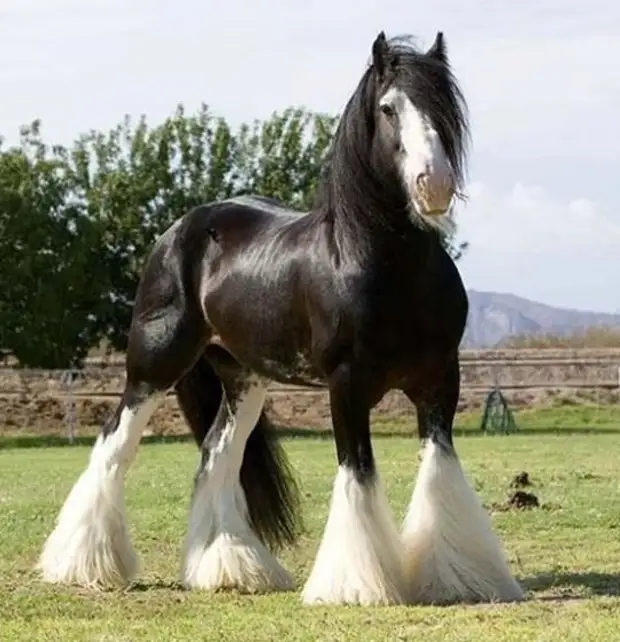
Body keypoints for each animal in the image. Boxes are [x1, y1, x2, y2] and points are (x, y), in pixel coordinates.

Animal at [37, 30, 524, 604]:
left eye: (444, 107)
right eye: (388, 108)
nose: (434, 185)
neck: (378, 263)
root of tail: (180, 229)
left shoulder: (440, 380)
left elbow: (440, 473)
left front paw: (461, 578)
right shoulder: (347, 385)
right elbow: (357, 475)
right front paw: (354, 585)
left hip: (244, 380)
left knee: (216, 457)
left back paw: (231, 569)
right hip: (154, 366)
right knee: (114, 446)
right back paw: (81, 564)